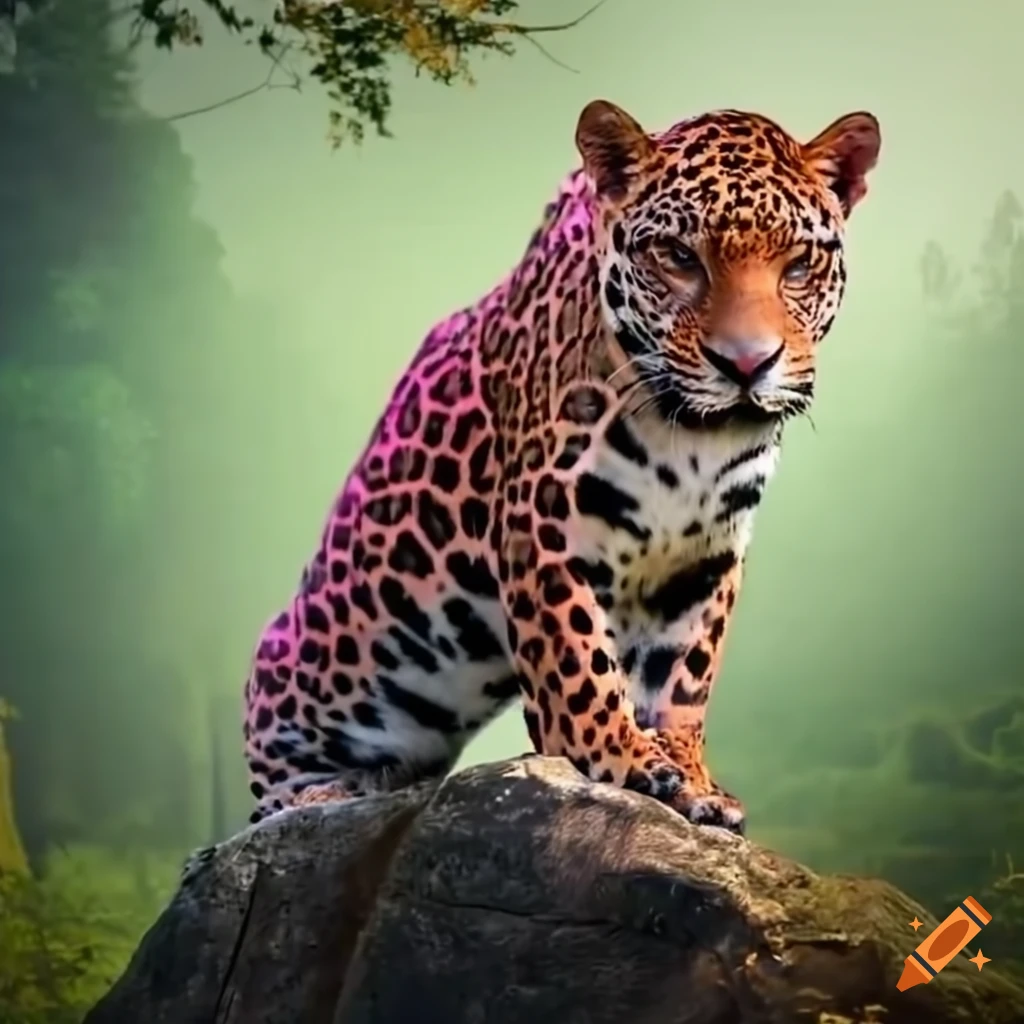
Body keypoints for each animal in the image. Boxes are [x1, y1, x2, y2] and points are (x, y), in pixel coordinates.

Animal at [242, 98, 881, 834]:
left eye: (799, 264)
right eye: (678, 257)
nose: (747, 365)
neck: (690, 436)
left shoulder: (710, 552)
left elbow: (687, 675)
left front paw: (692, 778)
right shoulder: (542, 523)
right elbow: (577, 658)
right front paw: (621, 758)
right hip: (307, 664)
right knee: (272, 787)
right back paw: (330, 794)